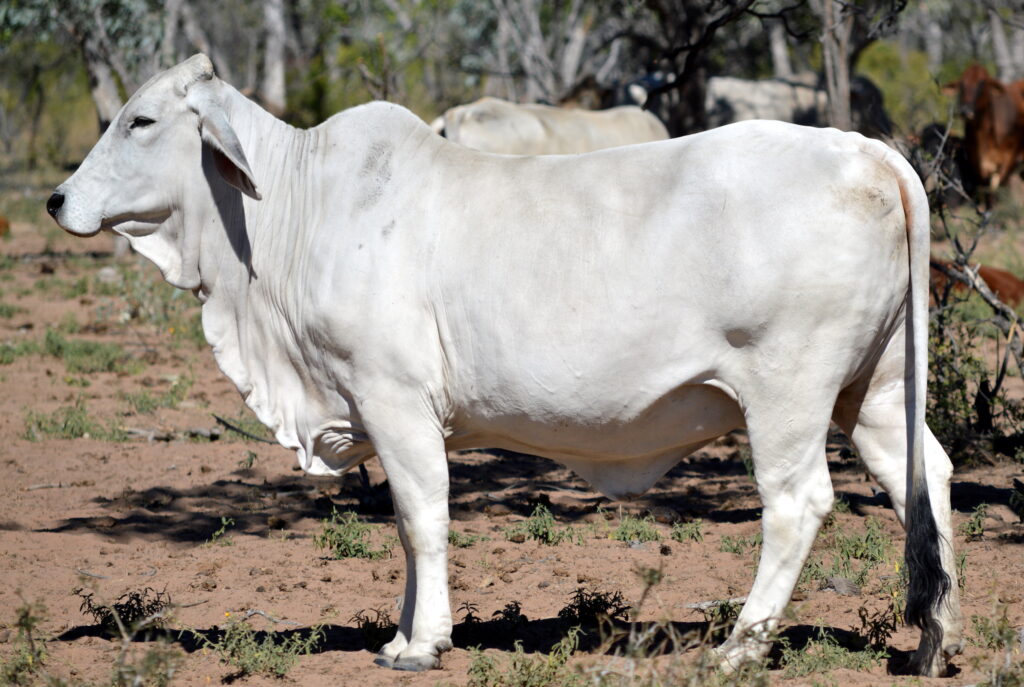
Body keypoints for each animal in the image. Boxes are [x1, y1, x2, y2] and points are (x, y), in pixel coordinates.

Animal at [47, 55, 961, 676]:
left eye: (140, 121)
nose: (57, 200)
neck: (289, 211)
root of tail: (867, 150)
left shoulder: (393, 397)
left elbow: (422, 517)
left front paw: (422, 642)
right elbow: (406, 528)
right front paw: (402, 631)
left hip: (787, 393)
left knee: (798, 503)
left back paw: (739, 645)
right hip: (875, 389)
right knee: (925, 476)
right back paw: (934, 637)